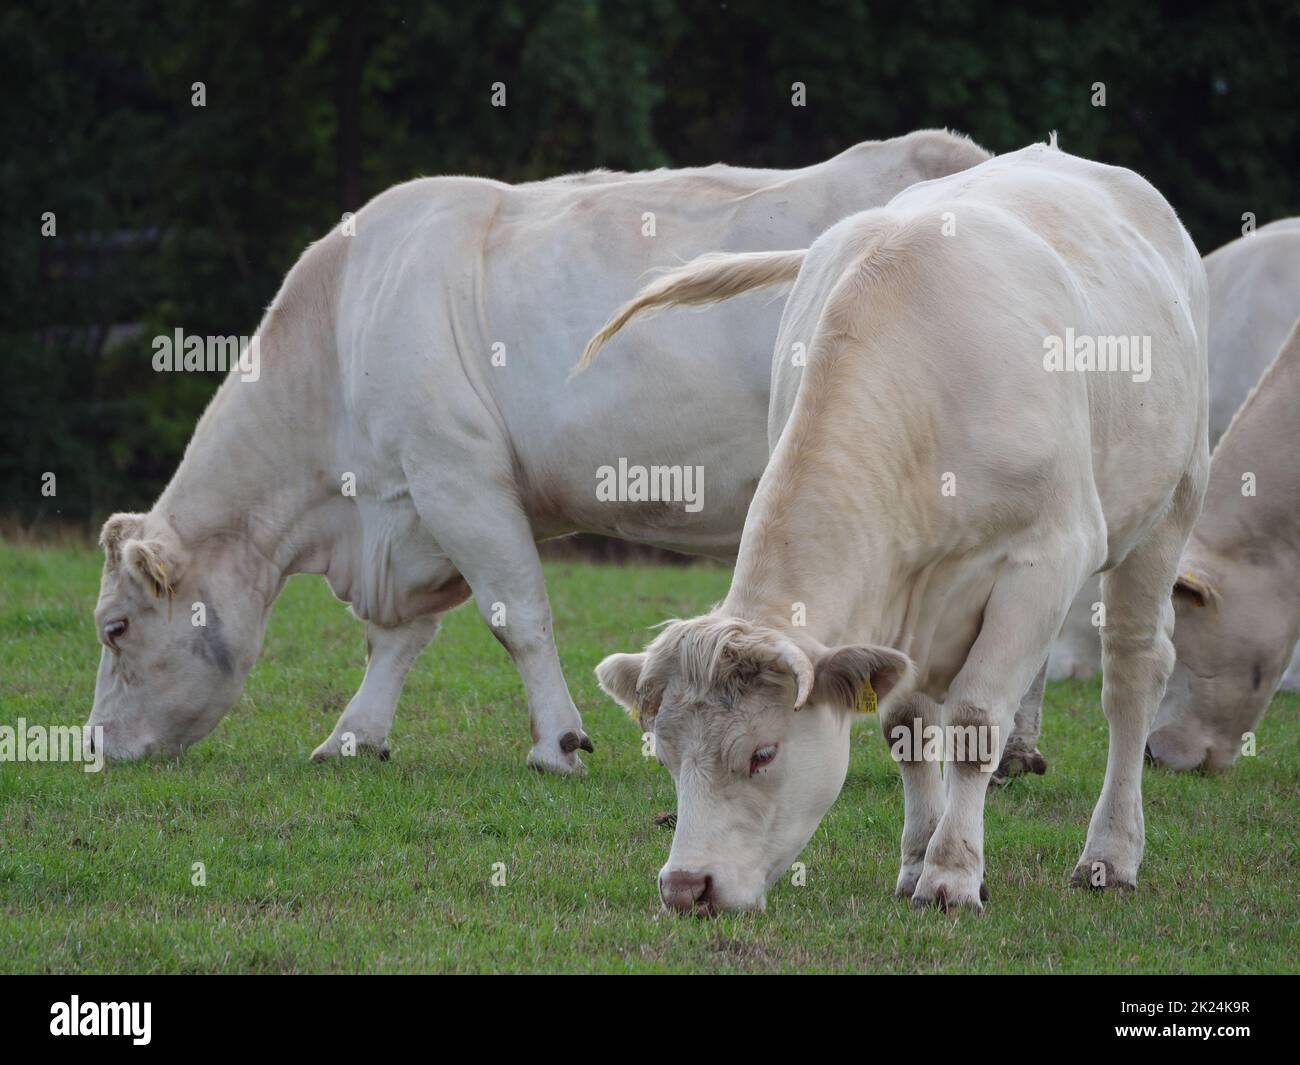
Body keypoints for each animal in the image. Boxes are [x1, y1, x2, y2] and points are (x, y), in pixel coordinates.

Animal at [85, 130, 990, 772]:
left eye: (115, 627)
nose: (92, 744)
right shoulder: (417, 510)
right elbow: (399, 638)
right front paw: (354, 736)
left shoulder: (456, 478)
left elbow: (516, 616)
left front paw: (557, 743)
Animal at [583, 139, 1208, 912]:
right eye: (666, 753)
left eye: (763, 752)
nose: (685, 886)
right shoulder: (891, 592)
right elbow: (906, 725)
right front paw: (915, 860)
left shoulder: (1048, 555)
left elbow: (975, 720)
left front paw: (951, 873)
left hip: (1171, 503)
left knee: (1131, 673)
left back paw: (1111, 853)